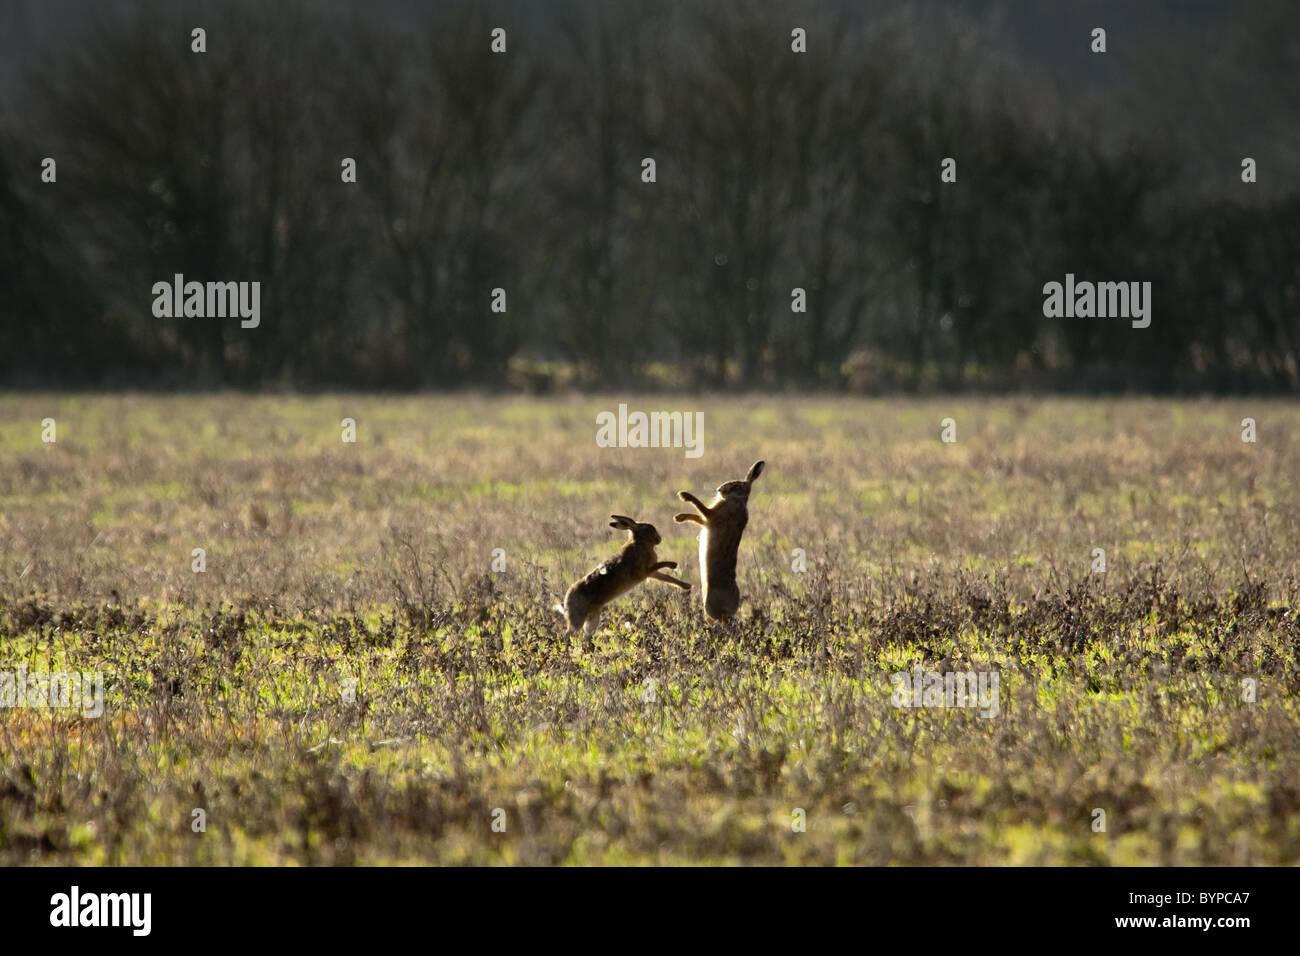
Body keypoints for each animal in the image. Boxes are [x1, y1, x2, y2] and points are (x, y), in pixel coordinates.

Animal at [557, 515, 691, 634]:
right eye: (649, 529)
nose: (659, 539)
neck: (640, 542)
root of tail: (566, 600)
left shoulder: (652, 573)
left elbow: (667, 578)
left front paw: (686, 586)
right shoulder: (644, 571)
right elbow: (660, 565)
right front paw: (673, 565)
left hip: (592, 618)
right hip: (578, 619)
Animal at [674, 460, 764, 620]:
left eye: (736, 485)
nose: (719, 489)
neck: (738, 499)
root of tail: (729, 609)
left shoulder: (713, 515)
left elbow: (701, 507)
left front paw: (684, 495)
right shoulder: (708, 520)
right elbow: (697, 517)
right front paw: (679, 518)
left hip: (710, 605)